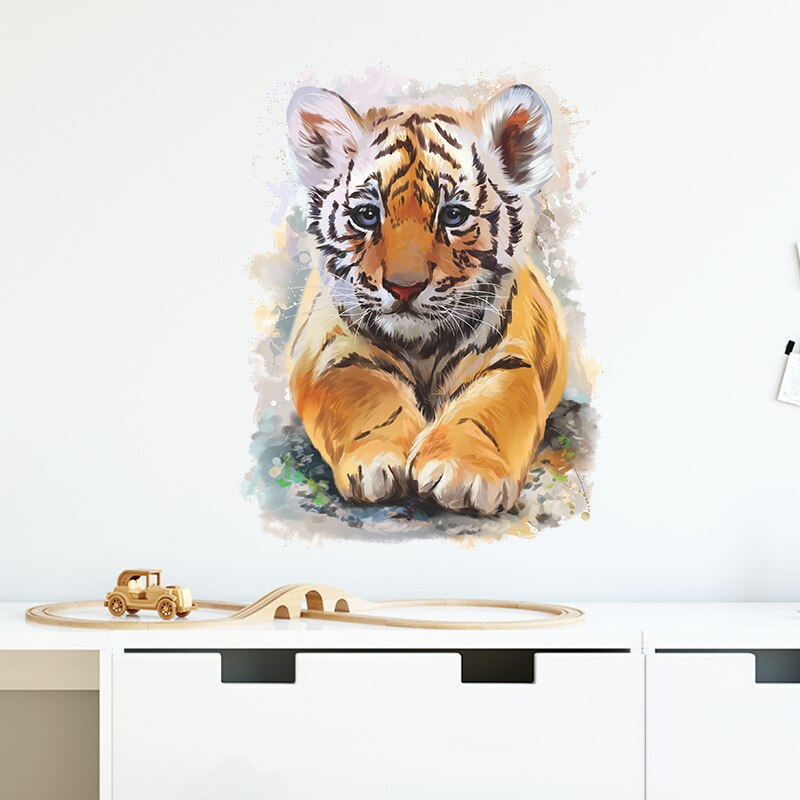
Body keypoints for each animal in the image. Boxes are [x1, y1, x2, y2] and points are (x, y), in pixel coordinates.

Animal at [284, 84, 568, 516]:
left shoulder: (510, 359)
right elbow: (370, 397)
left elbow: (485, 412)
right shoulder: (332, 352)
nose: (404, 287)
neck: (422, 347)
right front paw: (381, 459)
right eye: (367, 215)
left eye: (453, 215)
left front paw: (464, 472)